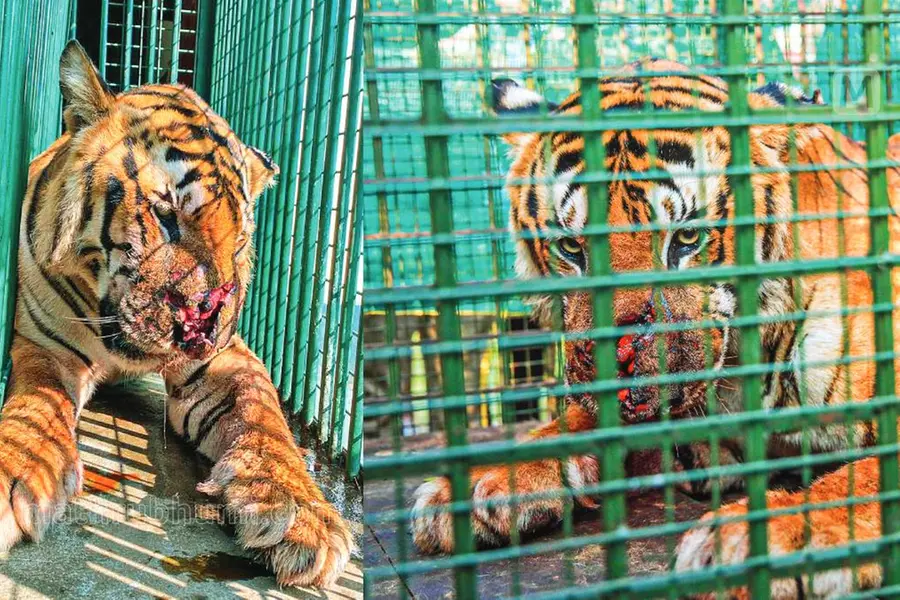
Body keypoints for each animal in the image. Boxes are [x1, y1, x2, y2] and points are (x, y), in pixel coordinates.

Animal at [0, 40, 353, 588]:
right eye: (166, 217)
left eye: (240, 242)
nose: (202, 325)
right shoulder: (42, 343)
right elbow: (39, 401)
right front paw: (15, 468)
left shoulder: (224, 357)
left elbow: (264, 415)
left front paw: (300, 511)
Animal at [409, 57, 900, 597]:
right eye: (572, 248)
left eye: (686, 240)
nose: (619, 361)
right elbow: (580, 423)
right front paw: (481, 483)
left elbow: (865, 476)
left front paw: (758, 539)